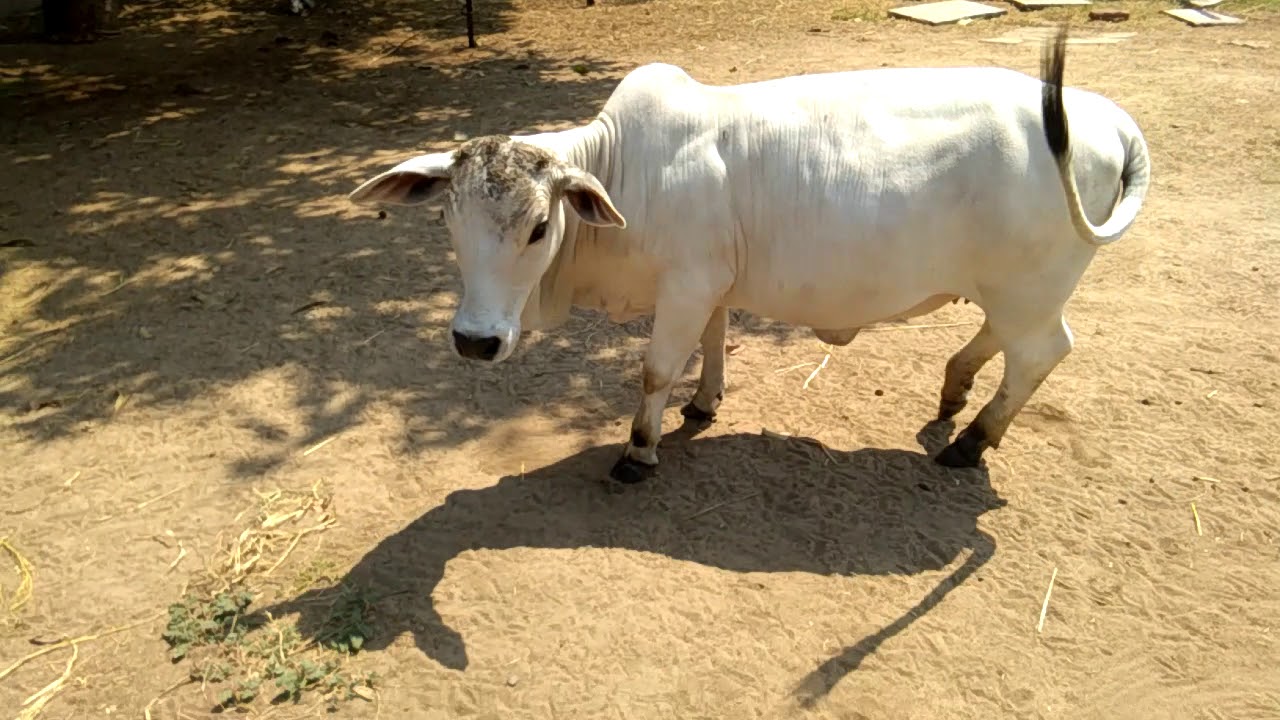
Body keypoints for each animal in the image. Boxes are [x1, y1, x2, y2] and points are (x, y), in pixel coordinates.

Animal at [346, 27, 1151, 483]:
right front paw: (704, 402)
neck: (625, 167)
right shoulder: (709, 285)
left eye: (540, 226)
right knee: (1001, 340)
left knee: (1041, 353)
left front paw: (639, 452)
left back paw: (972, 441)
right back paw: (954, 391)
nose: (475, 341)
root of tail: (1108, 118)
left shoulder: (686, 285)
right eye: (448, 218)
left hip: (1031, 291)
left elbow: (654, 370)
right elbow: (711, 343)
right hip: (1009, 288)